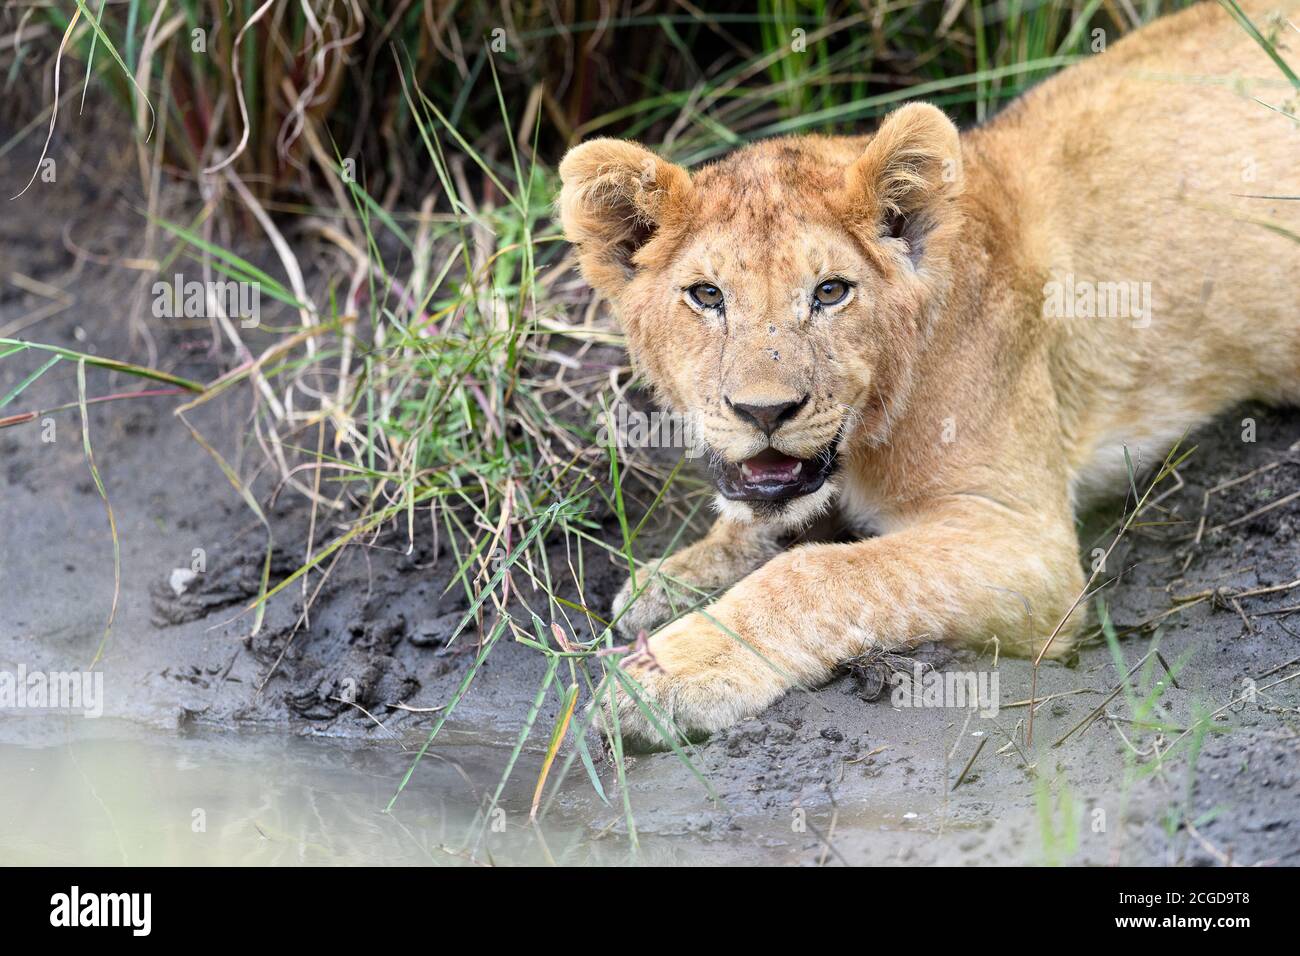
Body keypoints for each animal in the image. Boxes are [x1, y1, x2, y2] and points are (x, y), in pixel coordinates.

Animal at [557, 0, 1300, 746]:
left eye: (830, 292)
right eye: (707, 295)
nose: (765, 412)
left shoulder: (1024, 544)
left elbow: (818, 573)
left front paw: (668, 669)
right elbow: (755, 527)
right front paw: (666, 580)